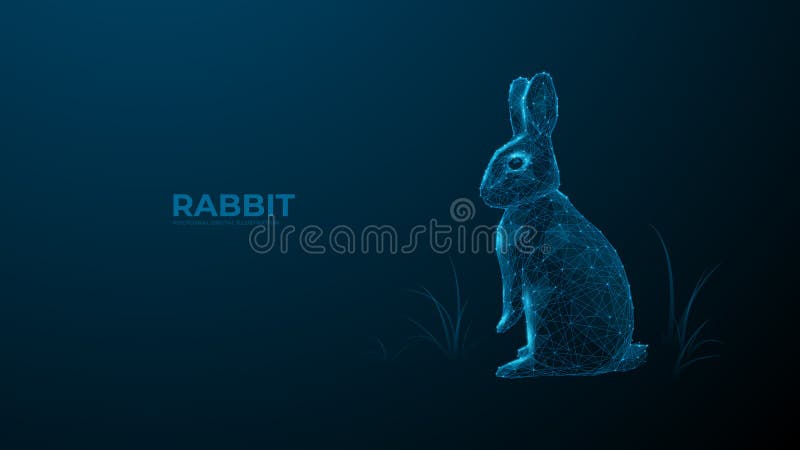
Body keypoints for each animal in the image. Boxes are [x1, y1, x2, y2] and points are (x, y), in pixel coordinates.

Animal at [480, 73, 647, 378]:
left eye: (516, 162)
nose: (484, 193)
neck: (533, 201)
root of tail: (612, 362)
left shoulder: (517, 267)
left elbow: (511, 298)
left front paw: (502, 326)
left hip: (547, 310)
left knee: (546, 362)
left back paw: (512, 368)